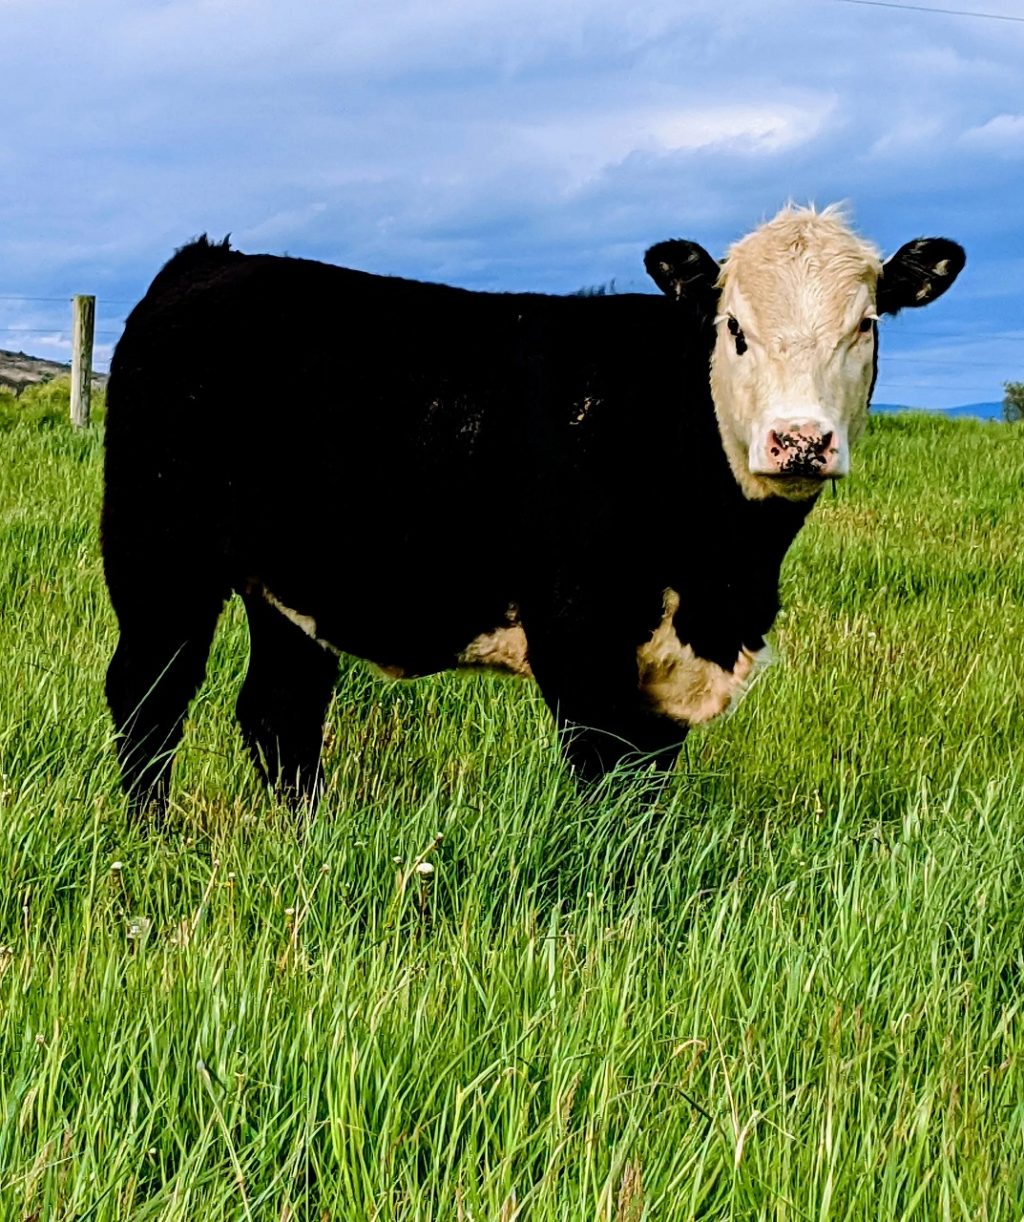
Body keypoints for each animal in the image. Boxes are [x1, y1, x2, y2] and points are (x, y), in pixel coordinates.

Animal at [101, 205, 964, 819]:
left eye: (865, 324)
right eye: (735, 329)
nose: (800, 441)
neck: (726, 574)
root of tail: (212, 260)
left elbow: (649, 791)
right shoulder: (581, 639)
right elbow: (607, 788)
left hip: (291, 584)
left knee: (281, 709)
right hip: (157, 557)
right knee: (149, 694)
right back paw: (152, 837)